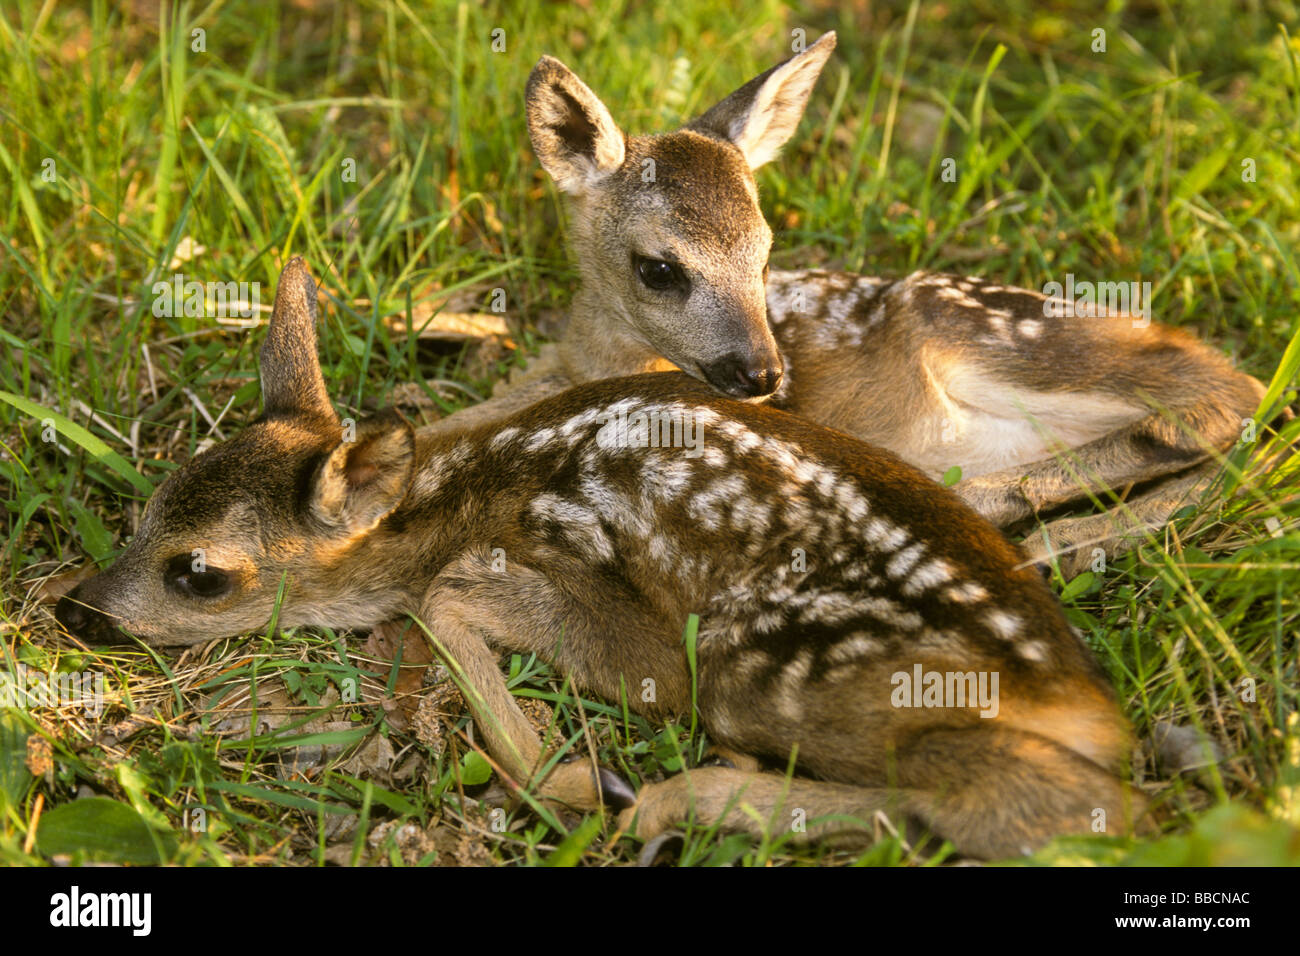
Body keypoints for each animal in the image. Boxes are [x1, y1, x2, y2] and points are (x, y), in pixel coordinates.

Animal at [56, 259, 1145, 860]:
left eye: (197, 571)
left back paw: (676, 796)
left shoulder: (611, 617)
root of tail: (1084, 704)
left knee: (1048, 805)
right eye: (145, 508)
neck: (466, 486)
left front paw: (568, 779)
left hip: (790, 676)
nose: (76, 609)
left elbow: (450, 598)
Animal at [434, 31, 1272, 578]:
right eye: (659, 269)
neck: (593, 364)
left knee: (1228, 403)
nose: (765, 374)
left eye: (765, 252)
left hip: (975, 327)